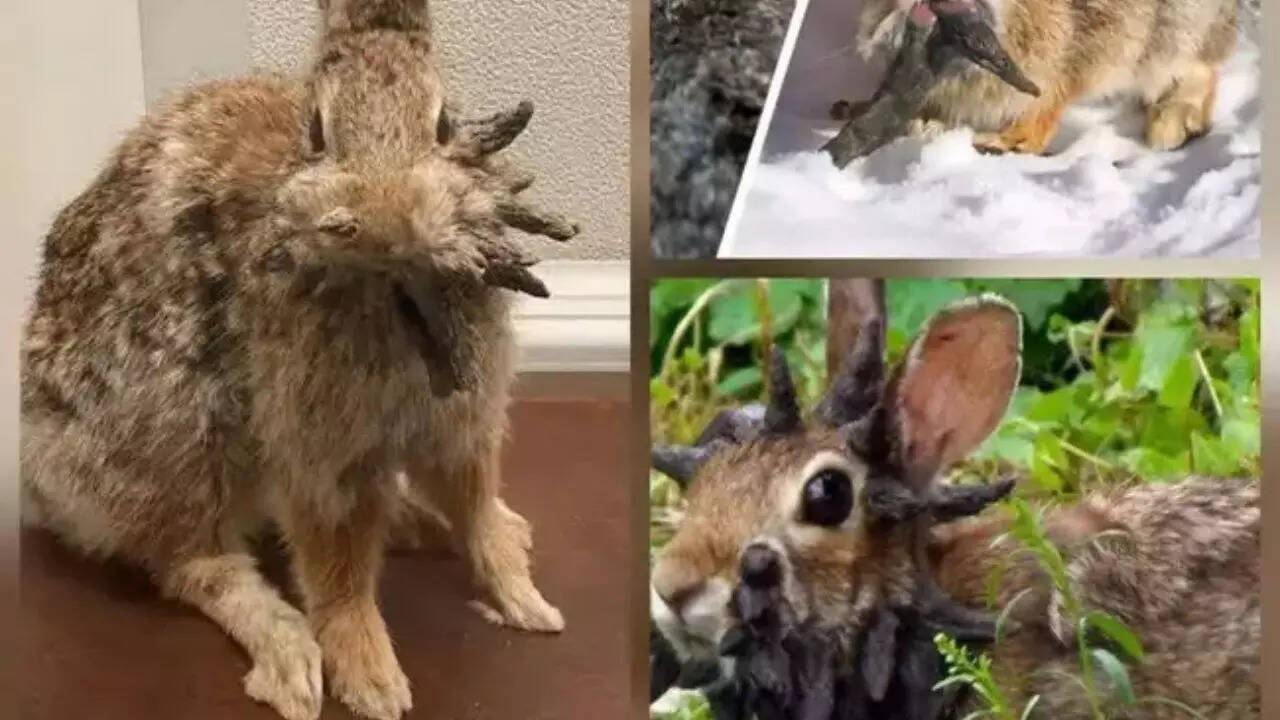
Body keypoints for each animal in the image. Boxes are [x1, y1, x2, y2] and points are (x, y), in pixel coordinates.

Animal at [20, 1, 577, 719]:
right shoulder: (321, 458)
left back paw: (431, 526)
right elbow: (338, 574)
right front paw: (373, 684)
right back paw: (288, 658)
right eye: (317, 131)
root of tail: (44, 484)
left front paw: (527, 602)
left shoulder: (462, 425)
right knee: (193, 564)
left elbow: (475, 506)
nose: (387, 218)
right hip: (175, 446)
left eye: (444, 124)